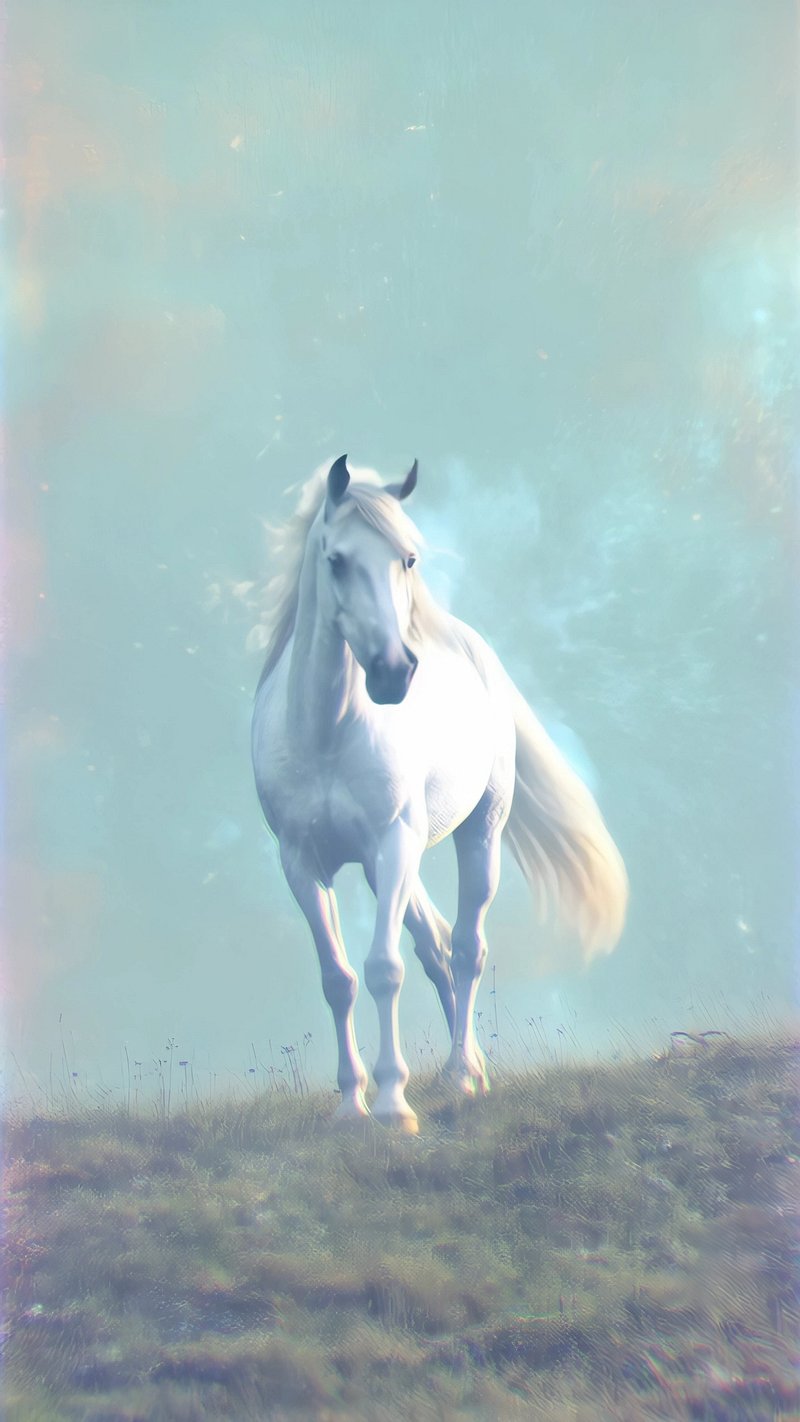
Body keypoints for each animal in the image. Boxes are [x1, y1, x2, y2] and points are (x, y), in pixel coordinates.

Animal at [251, 456, 628, 1133]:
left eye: (407, 558)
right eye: (336, 559)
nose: (394, 671)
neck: (328, 735)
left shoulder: (394, 843)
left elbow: (383, 968)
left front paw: (393, 1106)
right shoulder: (302, 863)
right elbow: (338, 979)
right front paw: (351, 1105)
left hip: (475, 834)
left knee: (468, 947)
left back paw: (458, 1075)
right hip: (381, 866)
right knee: (439, 945)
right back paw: (468, 1070)